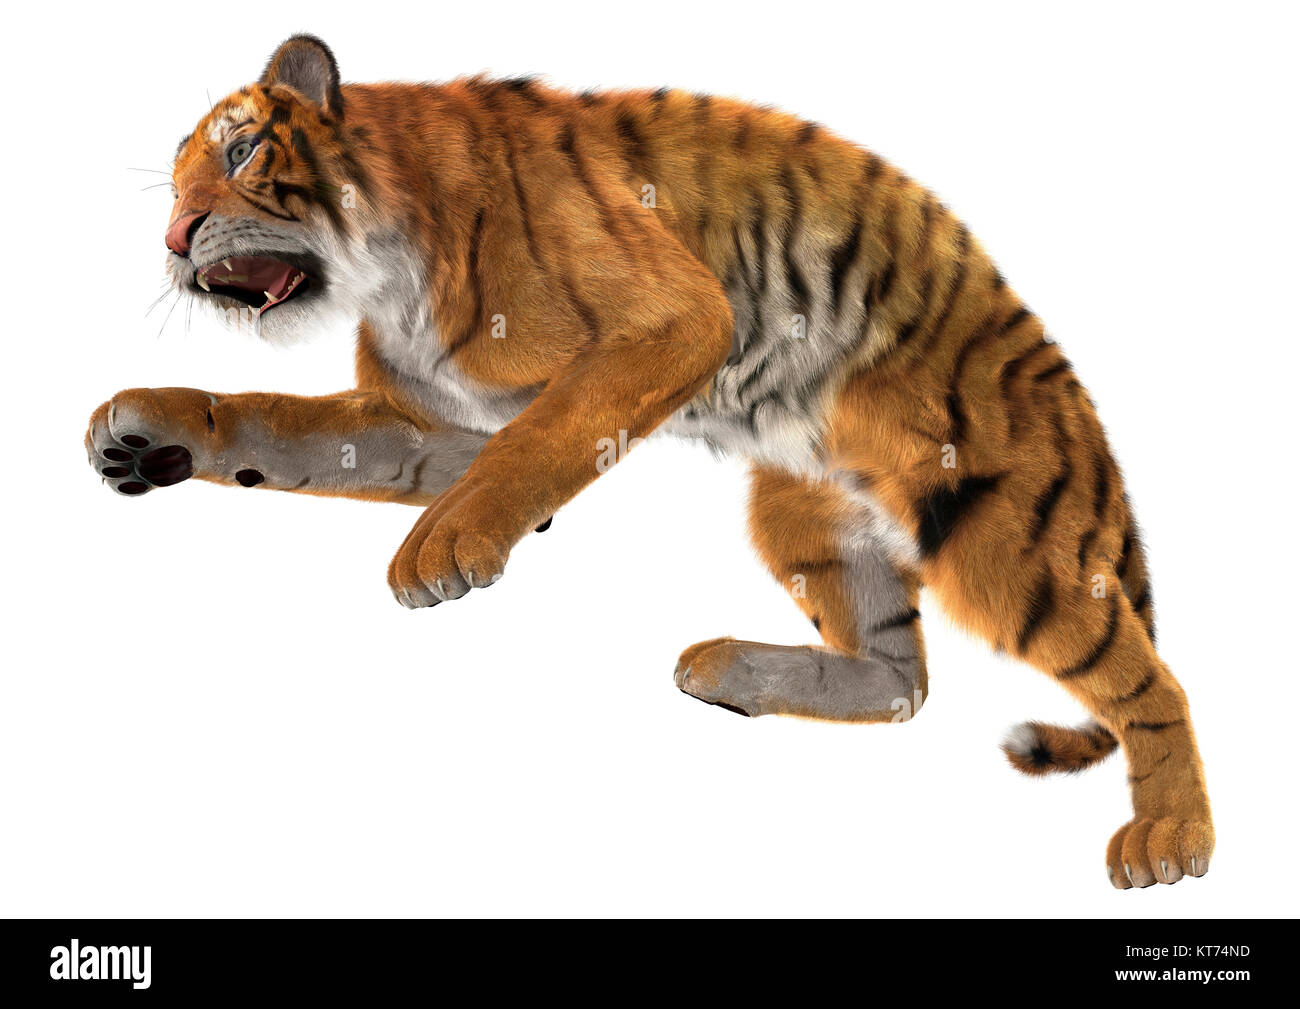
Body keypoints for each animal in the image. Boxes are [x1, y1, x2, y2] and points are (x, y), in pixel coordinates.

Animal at [85, 35, 1212, 887]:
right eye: (175, 176)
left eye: (238, 154)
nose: (174, 238)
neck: (385, 271)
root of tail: (1060, 379)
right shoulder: (434, 423)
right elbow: (279, 427)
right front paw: (146, 430)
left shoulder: (670, 322)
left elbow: (535, 445)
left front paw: (442, 551)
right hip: (801, 510)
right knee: (901, 680)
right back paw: (732, 674)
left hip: (997, 535)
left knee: (1148, 679)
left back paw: (1172, 838)